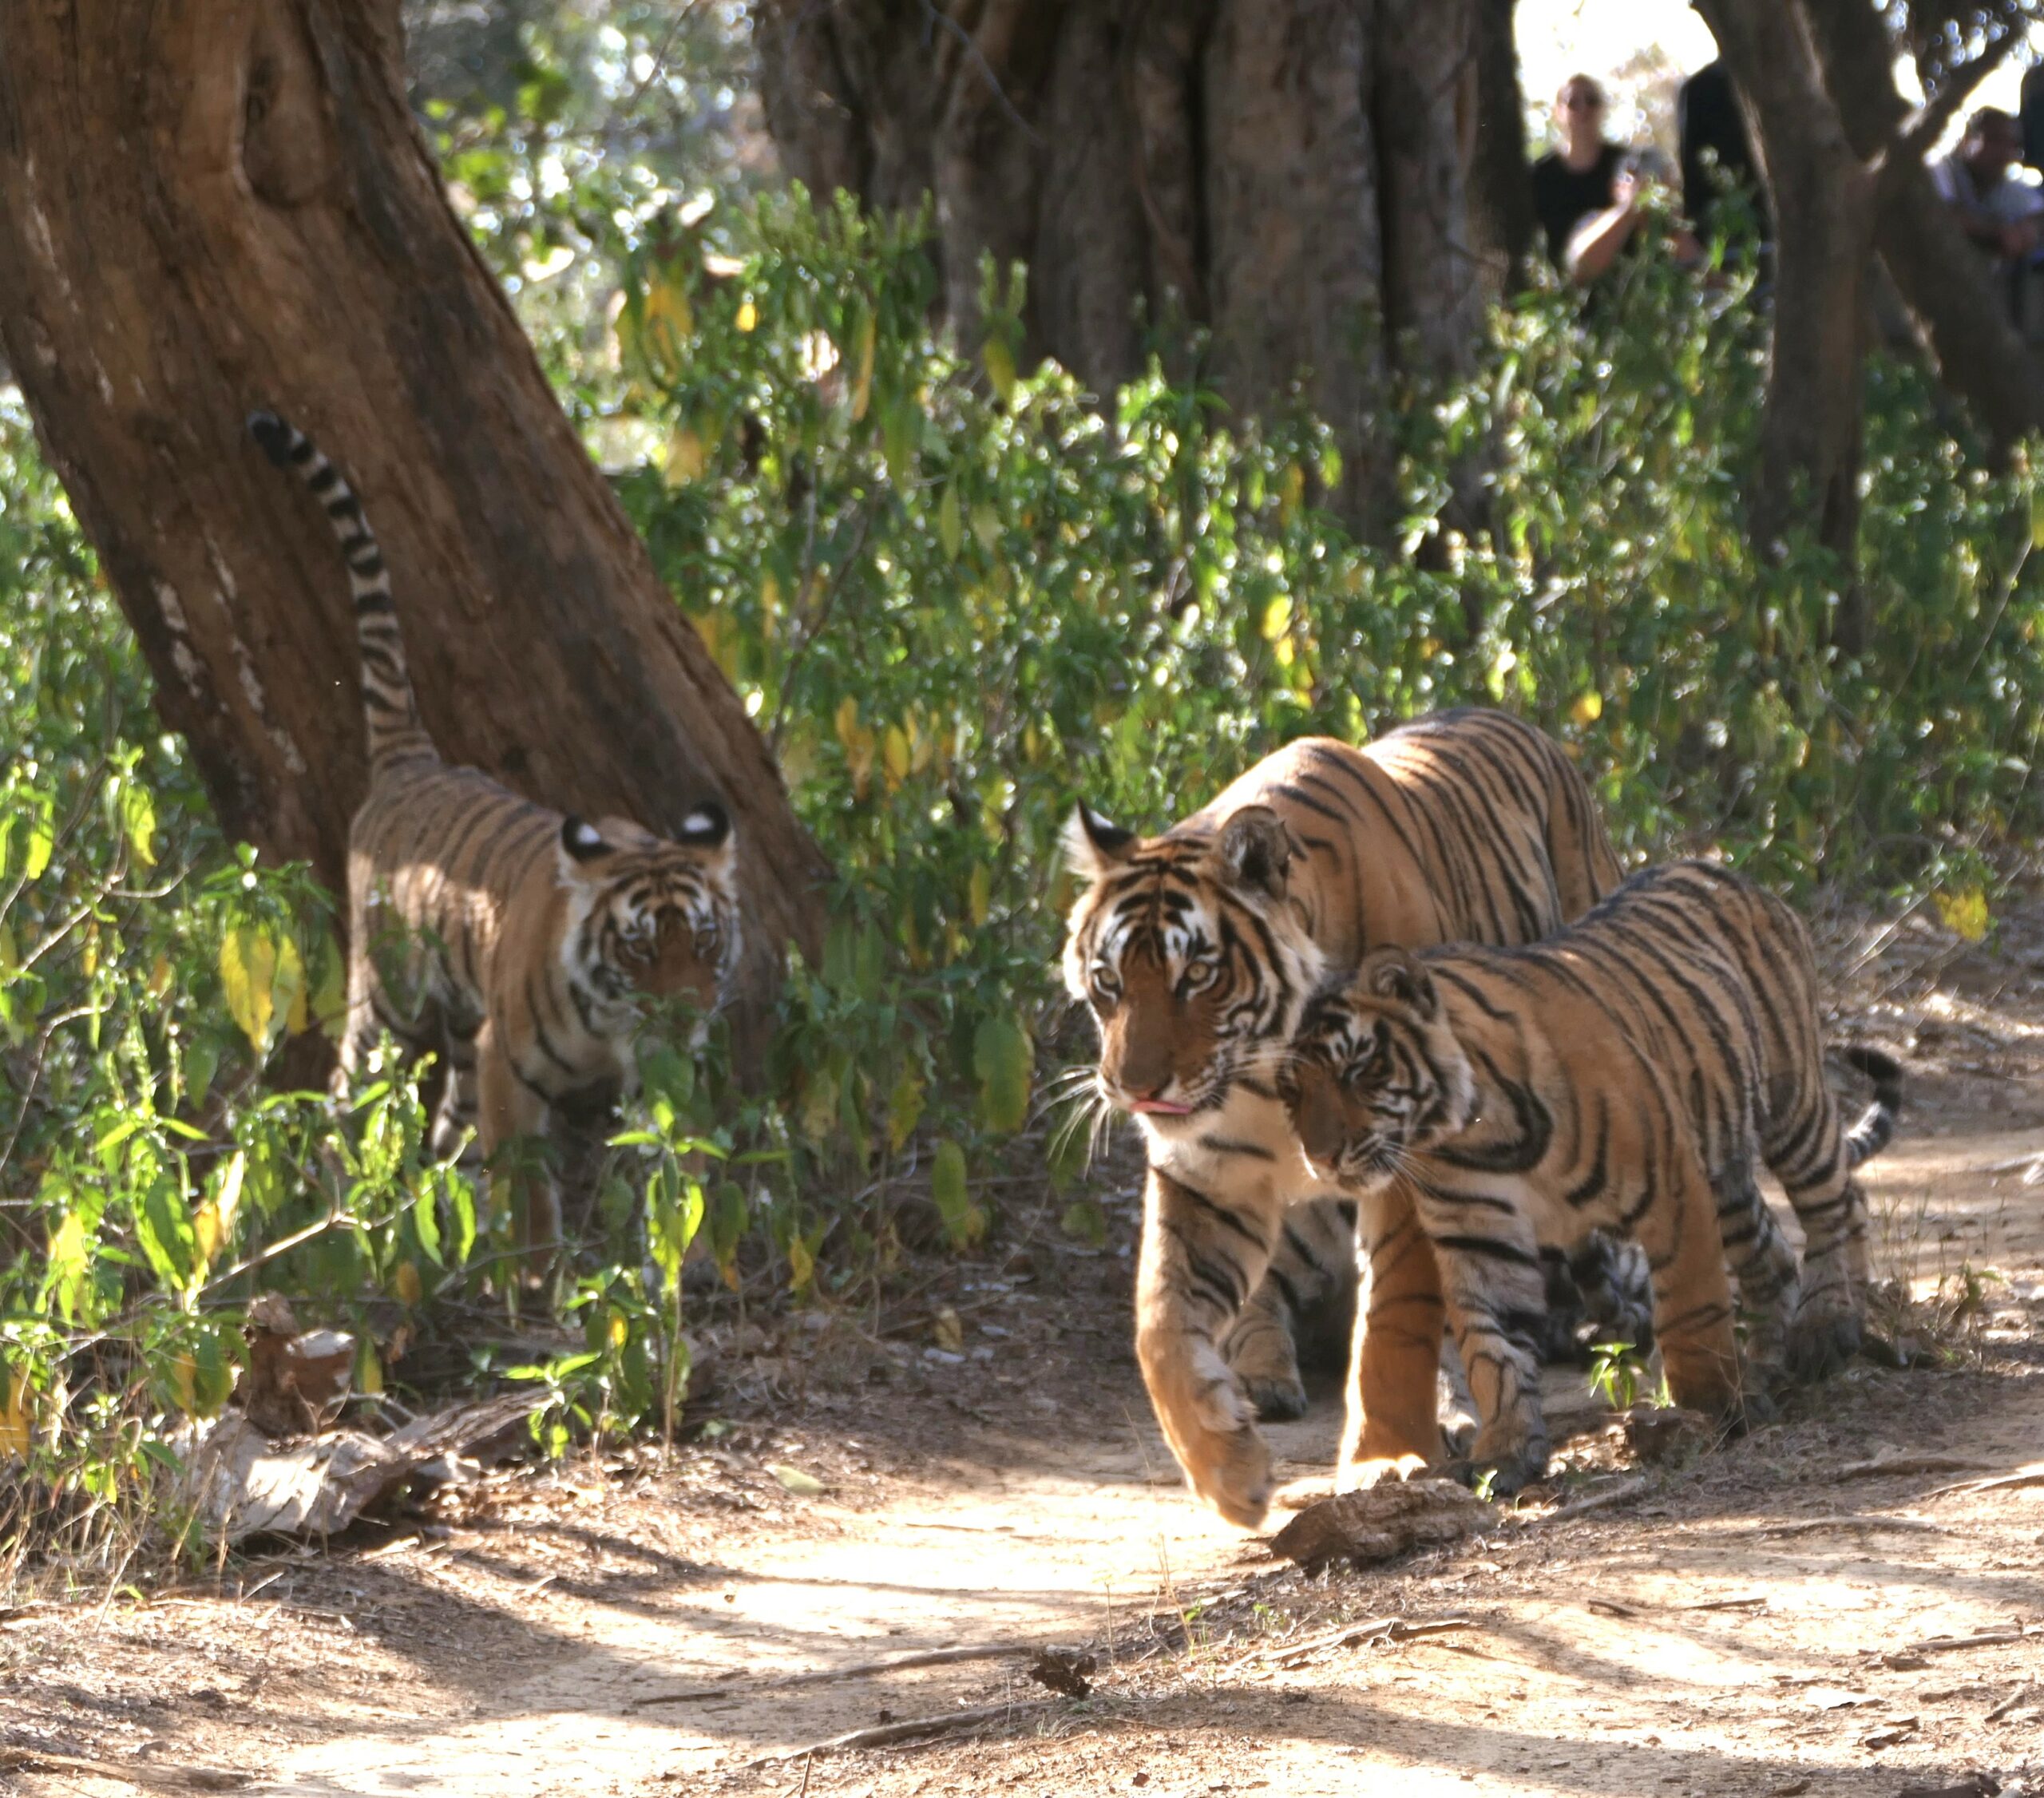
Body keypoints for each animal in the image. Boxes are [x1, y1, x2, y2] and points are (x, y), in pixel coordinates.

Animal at [248, 410, 741, 1264]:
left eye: (704, 942)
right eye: (642, 948)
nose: (688, 1018)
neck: (612, 1019)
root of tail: (413, 761)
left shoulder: (643, 1068)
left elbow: (679, 1159)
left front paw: (689, 1256)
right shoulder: (512, 1067)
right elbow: (531, 1190)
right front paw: (538, 1278)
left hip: (458, 1020)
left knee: (448, 1128)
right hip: (390, 1000)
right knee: (349, 1098)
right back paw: (350, 1214)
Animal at [1061, 707, 1624, 1527]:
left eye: (1196, 975)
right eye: (1108, 980)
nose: (1133, 1088)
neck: (1266, 1073)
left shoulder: (1411, 1158)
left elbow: (1392, 1317)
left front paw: (1385, 1458)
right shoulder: (1208, 1171)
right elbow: (1162, 1324)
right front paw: (1228, 1472)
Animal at [1280, 858, 1903, 1495]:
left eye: (1358, 1071)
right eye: (1291, 1089)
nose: (1321, 1159)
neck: (1469, 1135)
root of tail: (1730, 873)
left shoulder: (1673, 1185)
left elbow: (1692, 1305)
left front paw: (1712, 1405)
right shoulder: (1479, 1234)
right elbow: (1493, 1349)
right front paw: (1506, 1451)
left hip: (1791, 1104)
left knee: (1839, 1203)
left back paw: (1828, 1327)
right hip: (1726, 1160)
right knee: (1770, 1252)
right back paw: (1765, 1364)